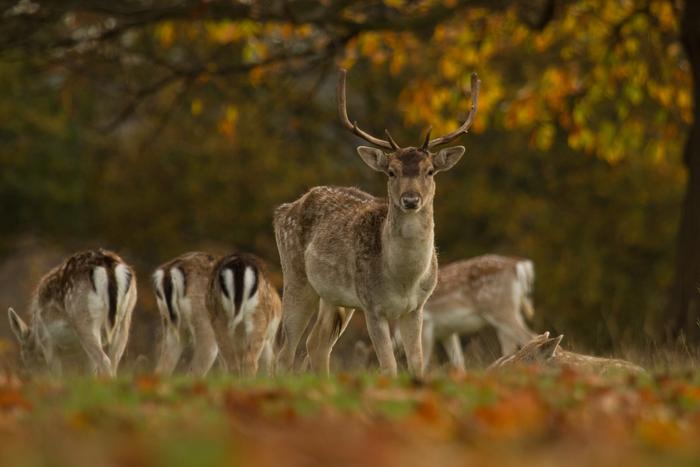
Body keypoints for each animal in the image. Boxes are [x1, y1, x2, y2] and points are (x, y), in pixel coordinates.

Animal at [7, 249, 137, 377]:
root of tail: (107, 265)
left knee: (104, 360)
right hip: (126, 317)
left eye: (25, 358)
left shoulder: (47, 342)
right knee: (114, 361)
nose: (34, 378)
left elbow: (58, 376)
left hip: (83, 318)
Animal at [274, 69, 480, 377]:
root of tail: (283, 210)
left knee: (316, 344)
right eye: (391, 171)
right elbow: (389, 366)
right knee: (285, 353)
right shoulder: (372, 306)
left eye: (430, 171)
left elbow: (417, 364)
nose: (410, 199)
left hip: (336, 298)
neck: (403, 279)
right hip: (296, 276)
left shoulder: (416, 308)